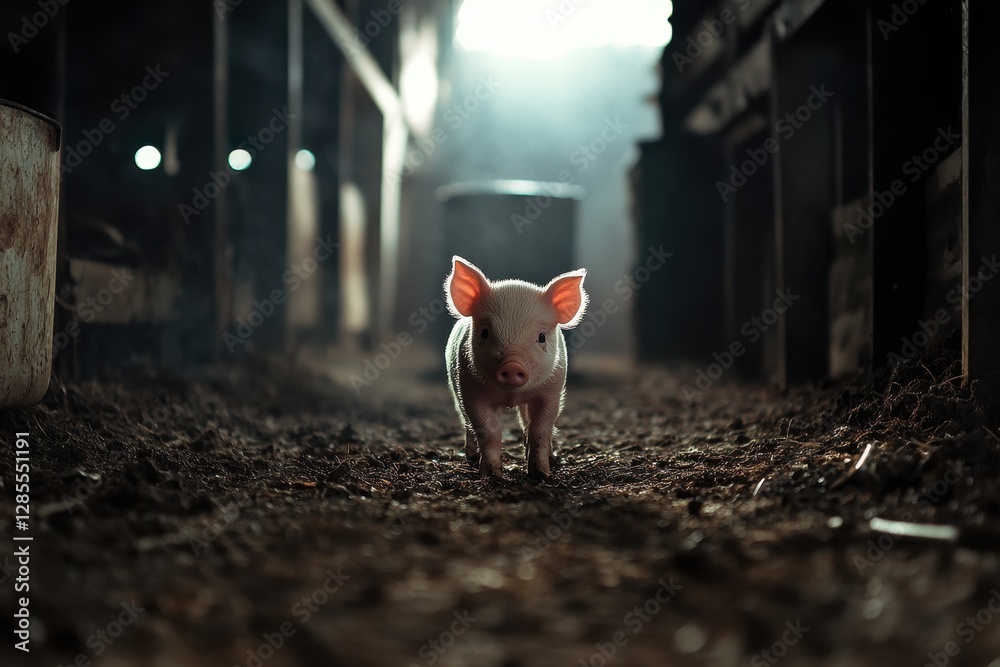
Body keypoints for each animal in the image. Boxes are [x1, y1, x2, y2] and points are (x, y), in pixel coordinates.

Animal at [444, 256, 588, 480]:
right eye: (485, 333)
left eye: (541, 337)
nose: (512, 366)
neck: (510, 397)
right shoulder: (470, 390)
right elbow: (488, 430)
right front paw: (492, 476)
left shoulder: (551, 392)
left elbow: (539, 430)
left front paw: (541, 474)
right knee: (466, 423)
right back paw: (471, 457)